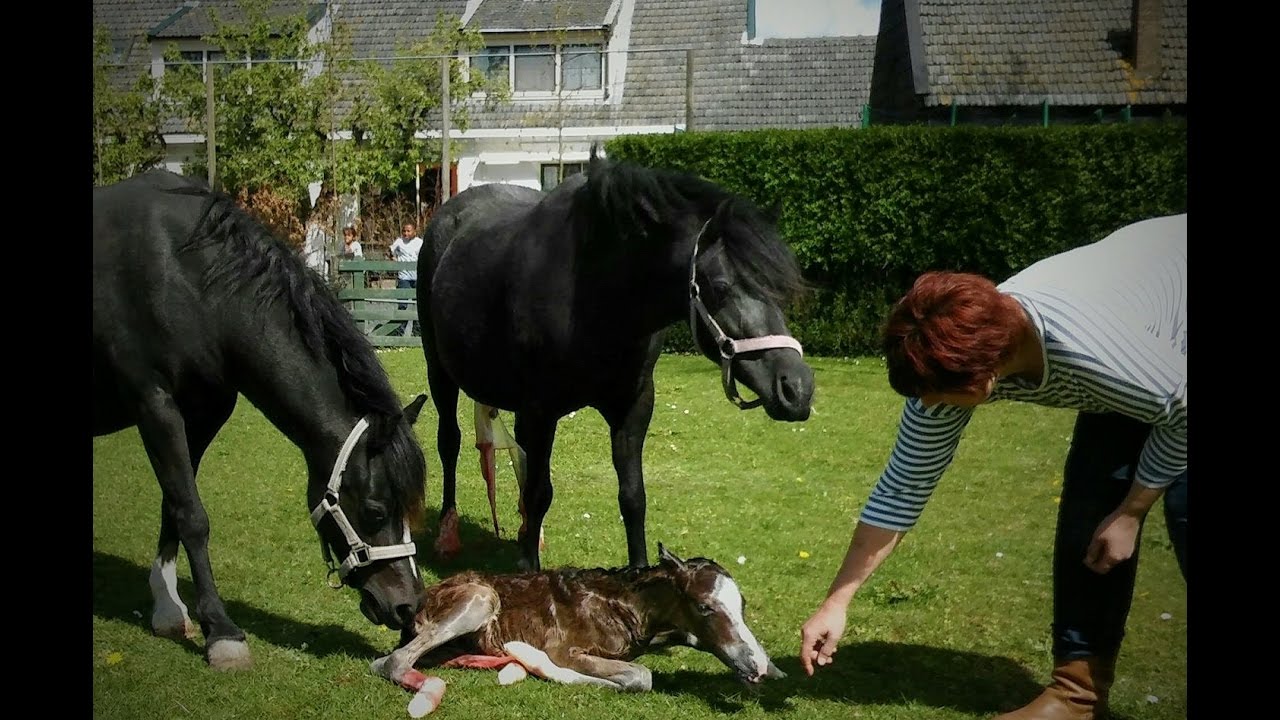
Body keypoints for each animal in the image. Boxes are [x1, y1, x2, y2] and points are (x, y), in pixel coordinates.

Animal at [93, 169, 430, 670]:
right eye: (375, 511)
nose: (409, 606)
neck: (188, 278)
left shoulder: (203, 412)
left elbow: (173, 504)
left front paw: (168, 606)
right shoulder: (154, 403)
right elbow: (192, 514)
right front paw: (220, 630)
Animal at [370, 543, 785, 702]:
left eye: (742, 607)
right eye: (704, 607)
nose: (757, 669)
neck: (632, 611)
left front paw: (770, 667)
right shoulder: (566, 648)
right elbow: (640, 676)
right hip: (480, 598)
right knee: (391, 661)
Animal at [416, 149, 815, 571]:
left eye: (780, 285)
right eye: (720, 287)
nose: (797, 388)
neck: (595, 294)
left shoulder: (633, 407)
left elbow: (632, 496)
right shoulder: (539, 412)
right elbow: (540, 493)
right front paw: (528, 567)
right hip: (439, 372)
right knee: (450, 442)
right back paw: (448, 534)